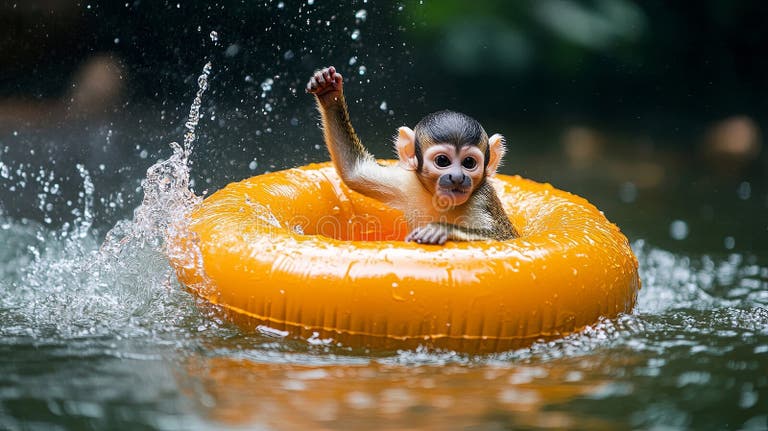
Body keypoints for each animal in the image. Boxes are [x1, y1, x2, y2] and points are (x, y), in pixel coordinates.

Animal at [306, 66, 518, 245]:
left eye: (469, 162)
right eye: (443, 161)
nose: (457, 178)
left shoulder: (480, 201)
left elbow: (504, 238)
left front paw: (442, 229)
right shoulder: (407, 184)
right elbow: (354, 170)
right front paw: (329, 92)